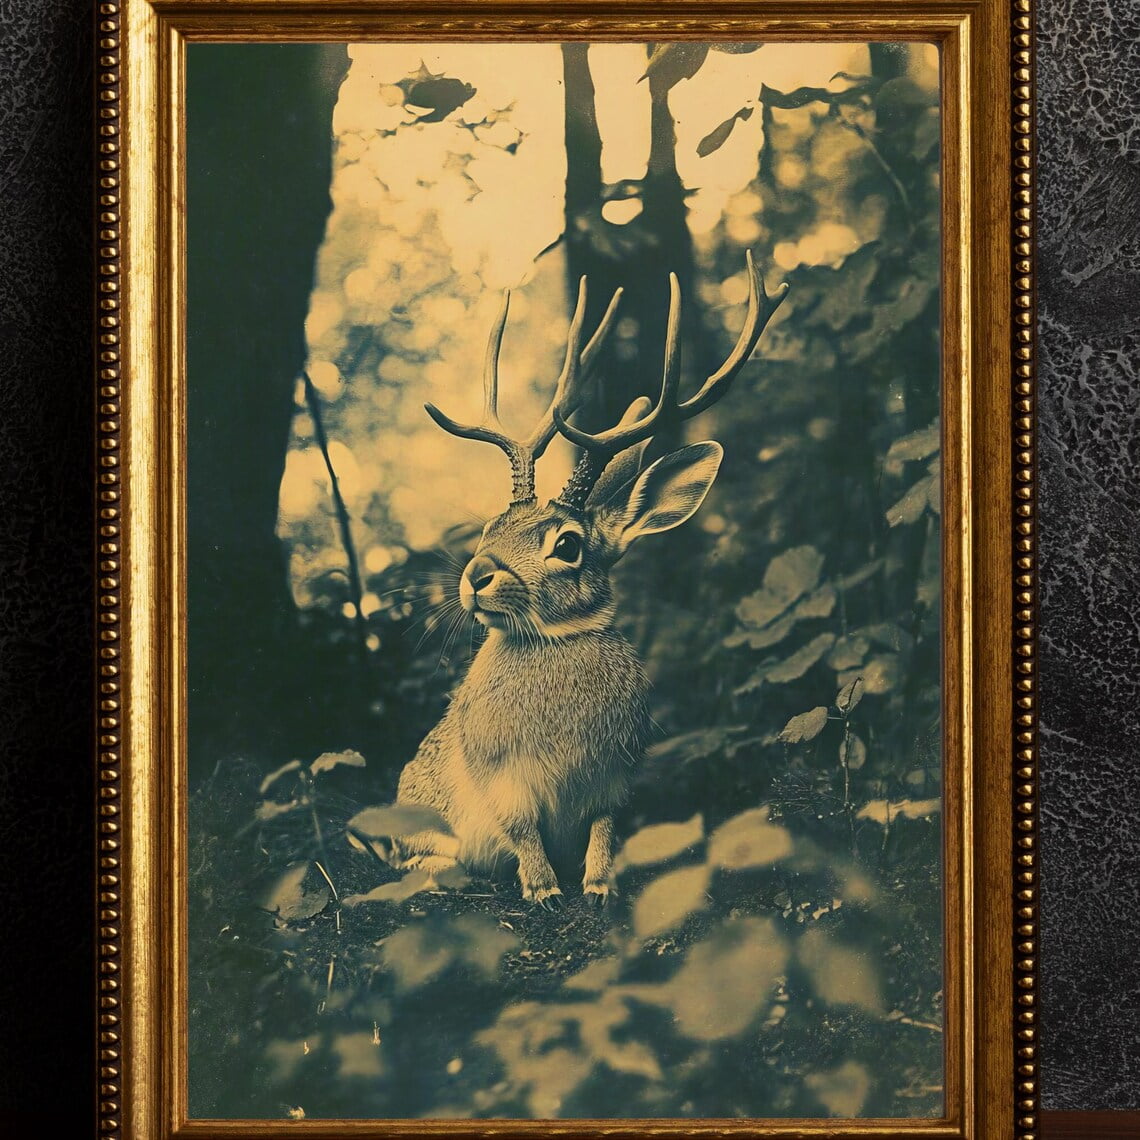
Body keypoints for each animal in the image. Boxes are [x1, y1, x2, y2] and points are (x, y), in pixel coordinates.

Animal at [382, 253, 787, 908]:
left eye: (567, 546)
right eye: (493, 525)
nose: (476, 577)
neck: (554, 641)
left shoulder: (610, 782)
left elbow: (603, 826)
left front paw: (597, 887)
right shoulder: (508, 786)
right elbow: (522, 830)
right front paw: (545, 891)